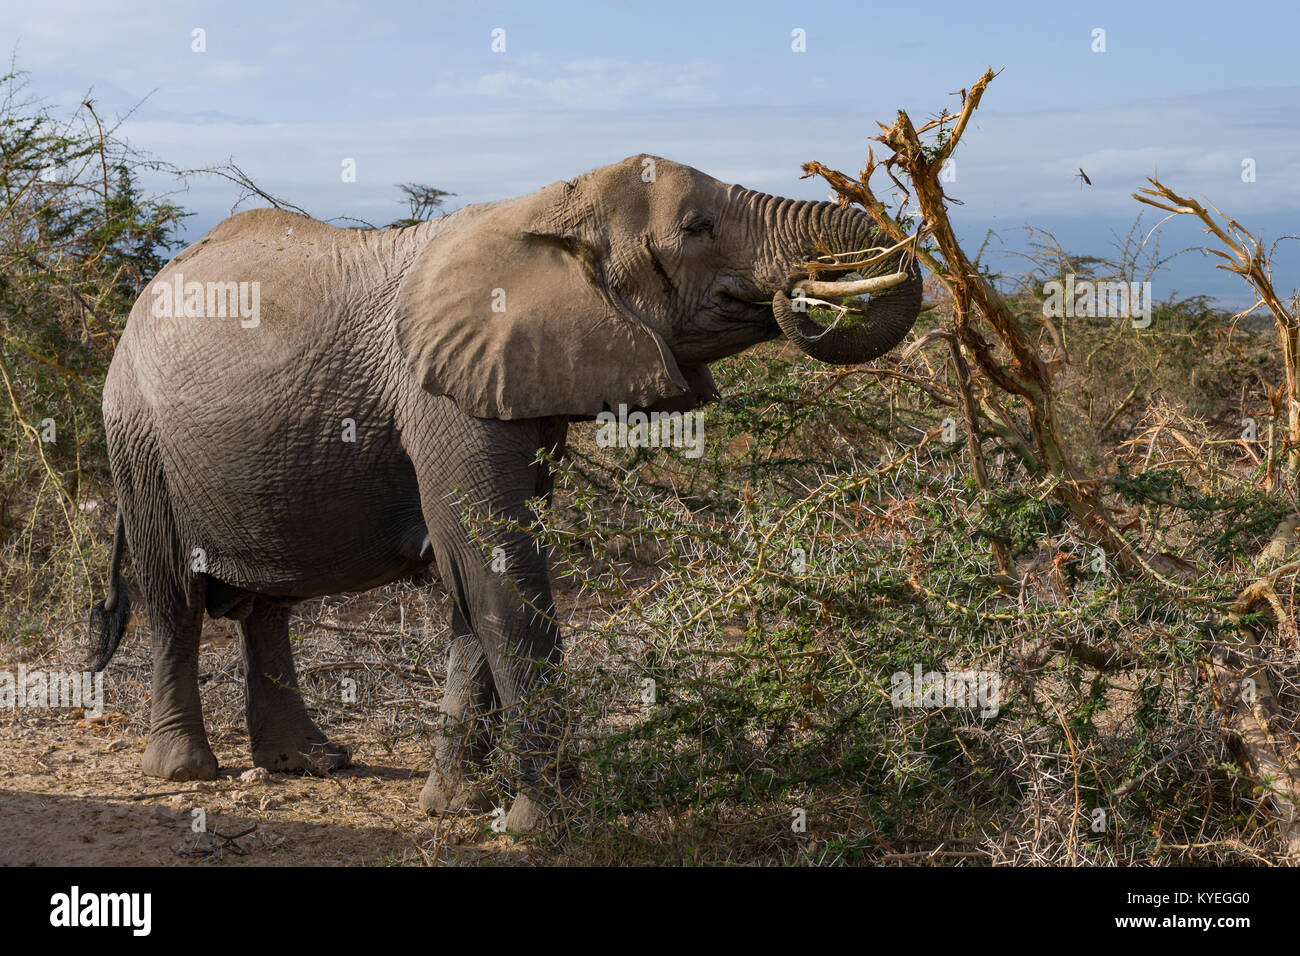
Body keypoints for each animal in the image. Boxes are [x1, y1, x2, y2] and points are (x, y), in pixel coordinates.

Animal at [87, 154, 923, 831]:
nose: (802, 293)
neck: (546, 209)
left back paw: (312, 763)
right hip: (137, 438)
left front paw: (455, 805)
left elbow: (477, 583)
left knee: (269, 607)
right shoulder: (442, 396)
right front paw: (549, 822)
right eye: (696, 228)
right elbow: (497, 571)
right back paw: (186, 771)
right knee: (172, 597)